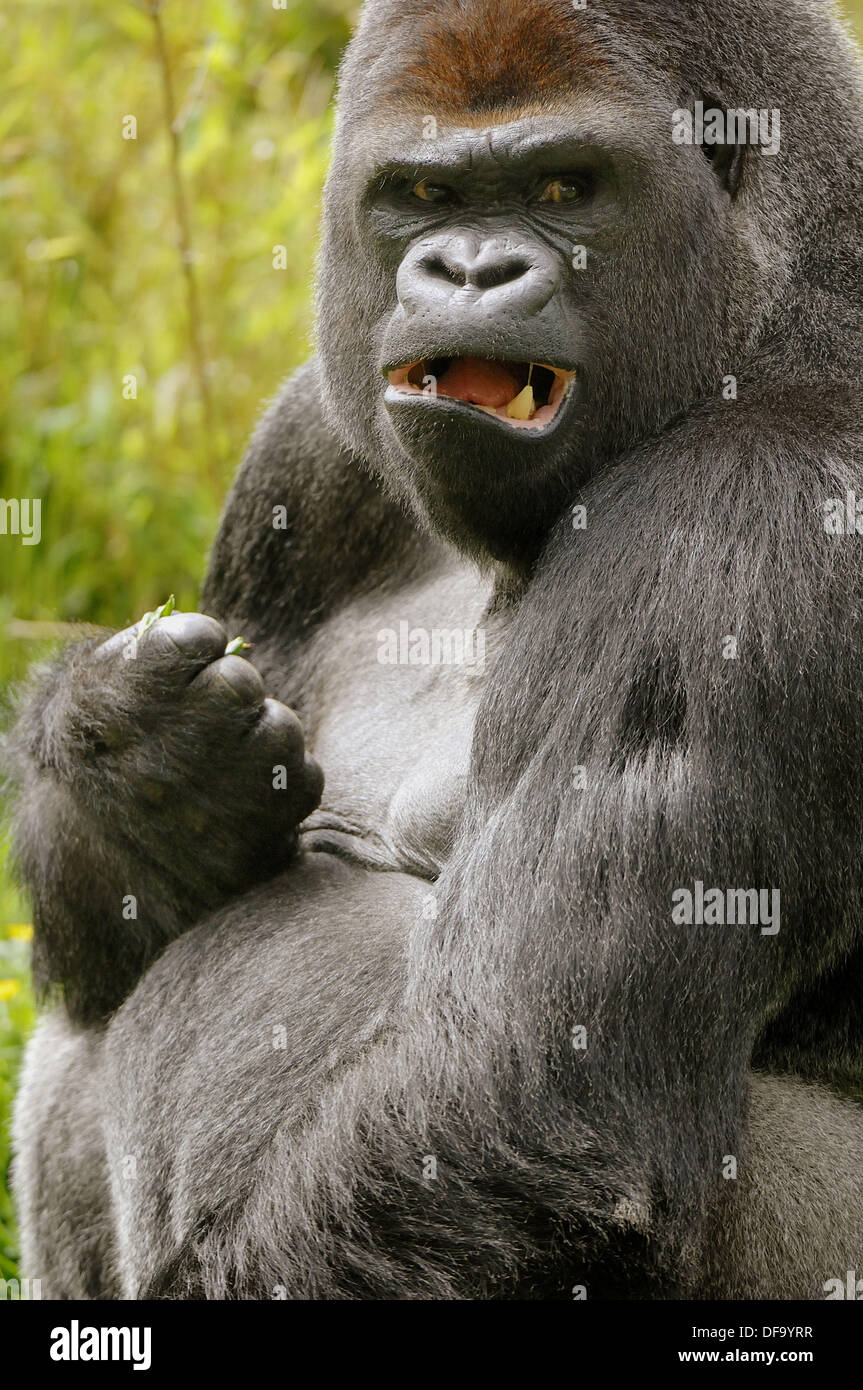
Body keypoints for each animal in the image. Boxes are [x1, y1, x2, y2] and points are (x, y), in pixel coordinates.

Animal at [7, 0, 863, 1299]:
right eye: (420, 194)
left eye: (564, 185)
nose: (463, 270)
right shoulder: (307, 443)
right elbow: (124, 926)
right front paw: (138, 772)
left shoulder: (763, 509)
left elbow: (528, 1097)